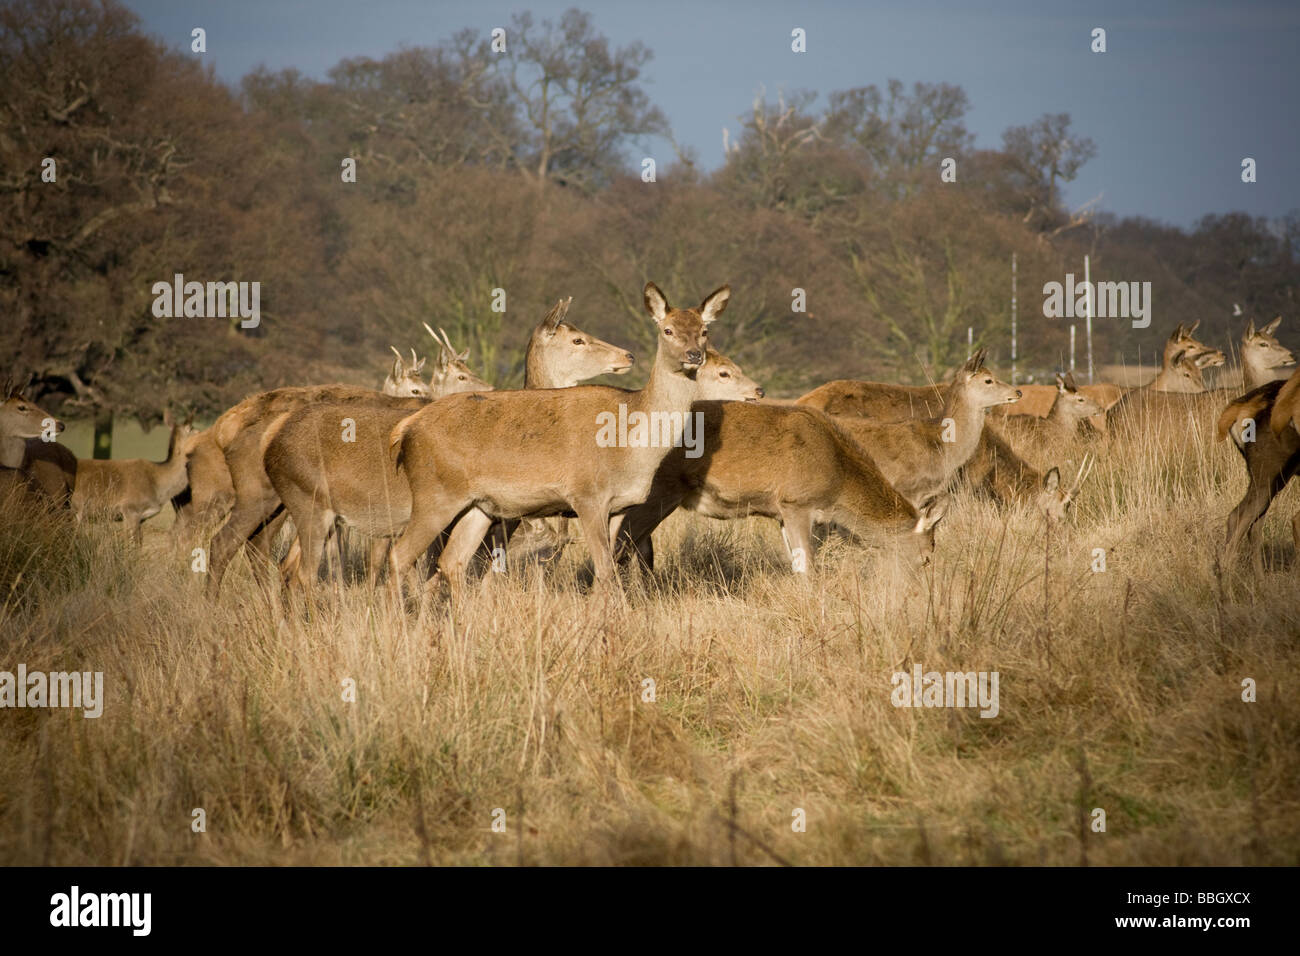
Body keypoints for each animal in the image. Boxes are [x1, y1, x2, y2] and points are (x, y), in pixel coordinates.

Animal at [385, 281, 730, 600]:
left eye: (704, 331)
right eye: (667, 329)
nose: (694, 355)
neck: (630, 445)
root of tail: (405, 429)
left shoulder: (619, 506)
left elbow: (609, 571)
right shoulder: (587, 496)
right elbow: (604, 569)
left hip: (479, 506)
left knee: (452, 560)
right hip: (434, 495)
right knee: (400, 555)